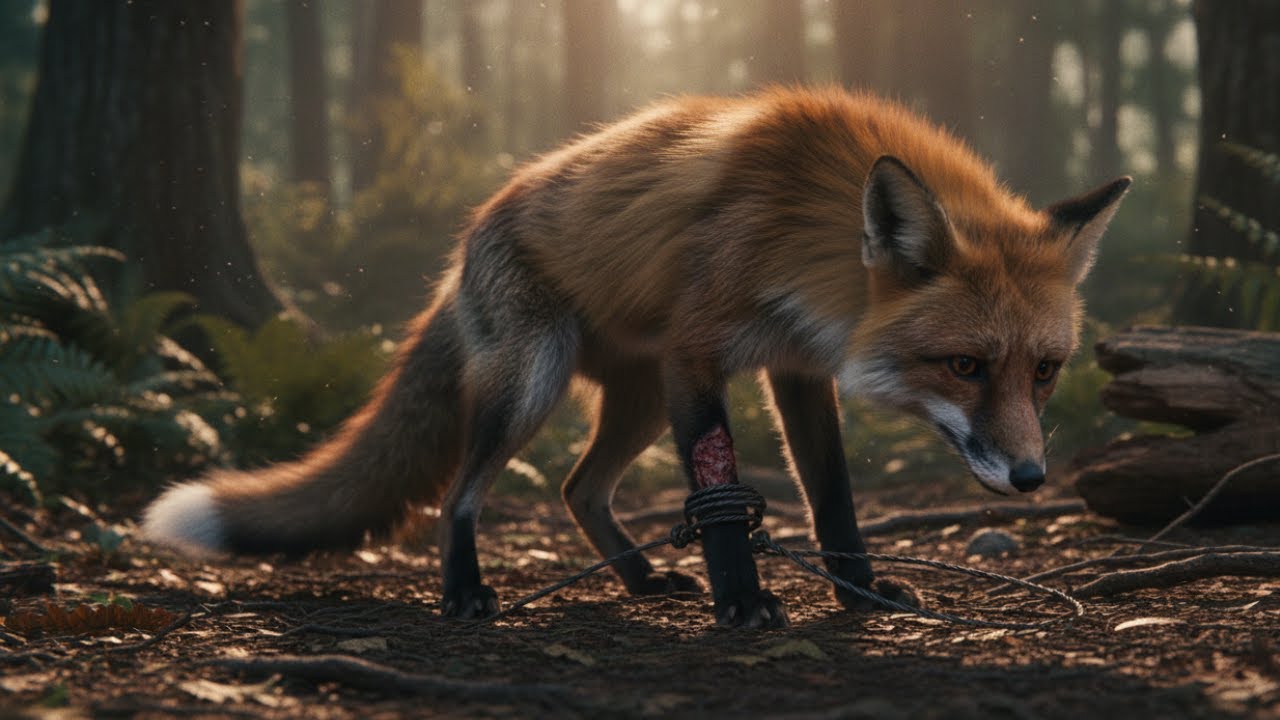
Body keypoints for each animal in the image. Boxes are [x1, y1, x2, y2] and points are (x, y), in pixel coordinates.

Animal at [143, 87, 1129, 629]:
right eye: (965, 366)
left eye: (1044, 371)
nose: (1033, 478)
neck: (803, 228)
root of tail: (462, 247)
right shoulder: (699, 353)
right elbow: (720, 497)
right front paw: (745, 607)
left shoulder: (796, 367)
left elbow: (835, 500)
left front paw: (860, 596)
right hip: (540, 380)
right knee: (460, 495)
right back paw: (466, 593)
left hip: (641, 398)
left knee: (579, 488)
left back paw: (643, 579)